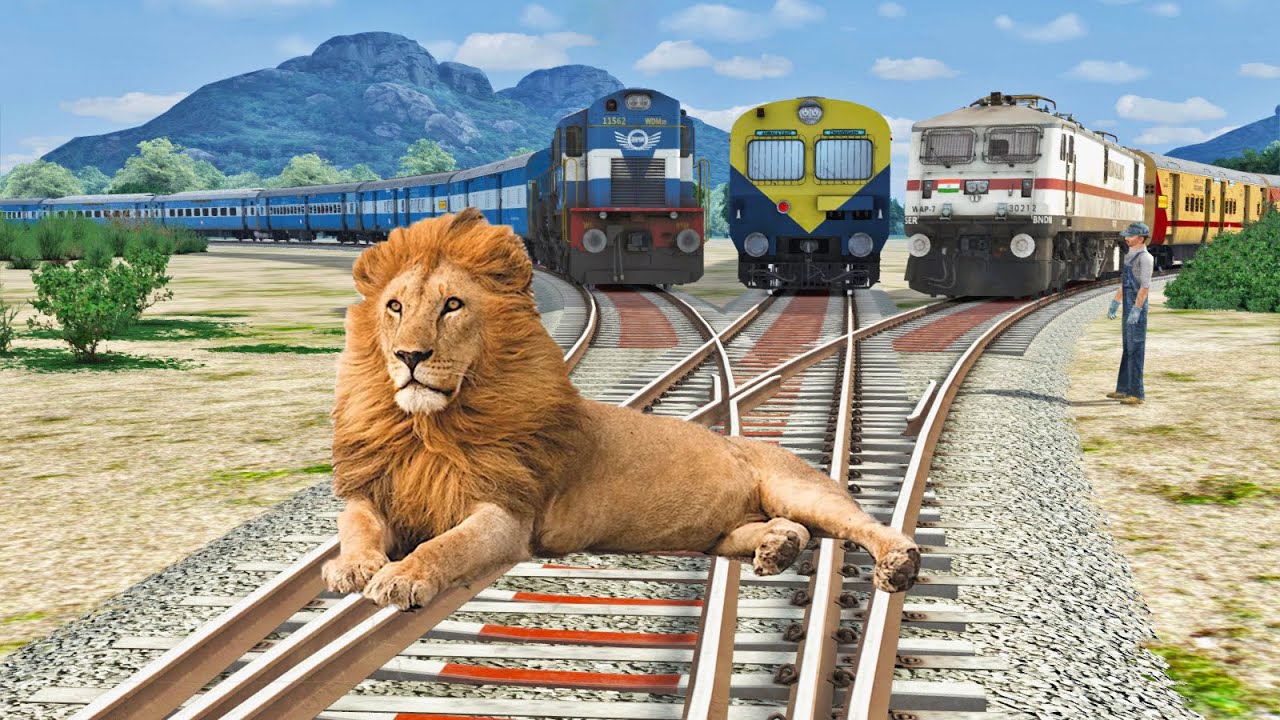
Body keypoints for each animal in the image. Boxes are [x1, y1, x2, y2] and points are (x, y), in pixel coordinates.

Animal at [323, 208, 921, 610]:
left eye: (452, 305)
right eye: (395, 307)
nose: (409, 356)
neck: (429, 429)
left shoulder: (507, 515)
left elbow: (448, 544)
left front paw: (402, 577)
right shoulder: (379, 491)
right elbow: (355, 523)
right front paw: (353, 567)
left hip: (799, 488)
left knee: (864, 523)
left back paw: (898, 565)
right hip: (723, 530)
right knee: (778, 528)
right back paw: (778, 548)